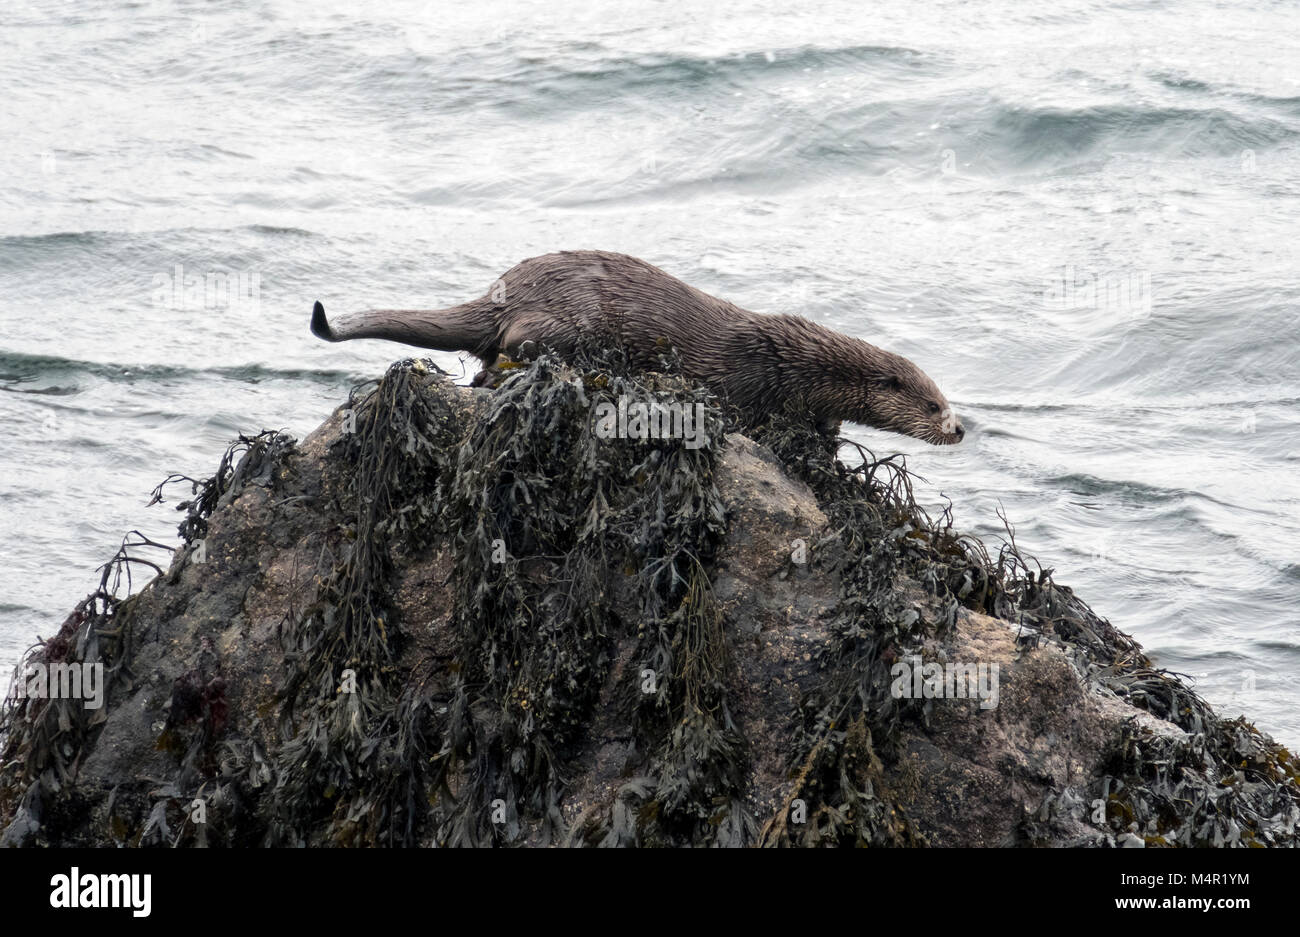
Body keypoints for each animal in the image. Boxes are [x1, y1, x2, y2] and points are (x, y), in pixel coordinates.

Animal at [311, 250, 964, 445]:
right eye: (934, 405)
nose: (958, 429)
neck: (799, 364)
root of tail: (508, 288)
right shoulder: (753, 381)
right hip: (563, 322)